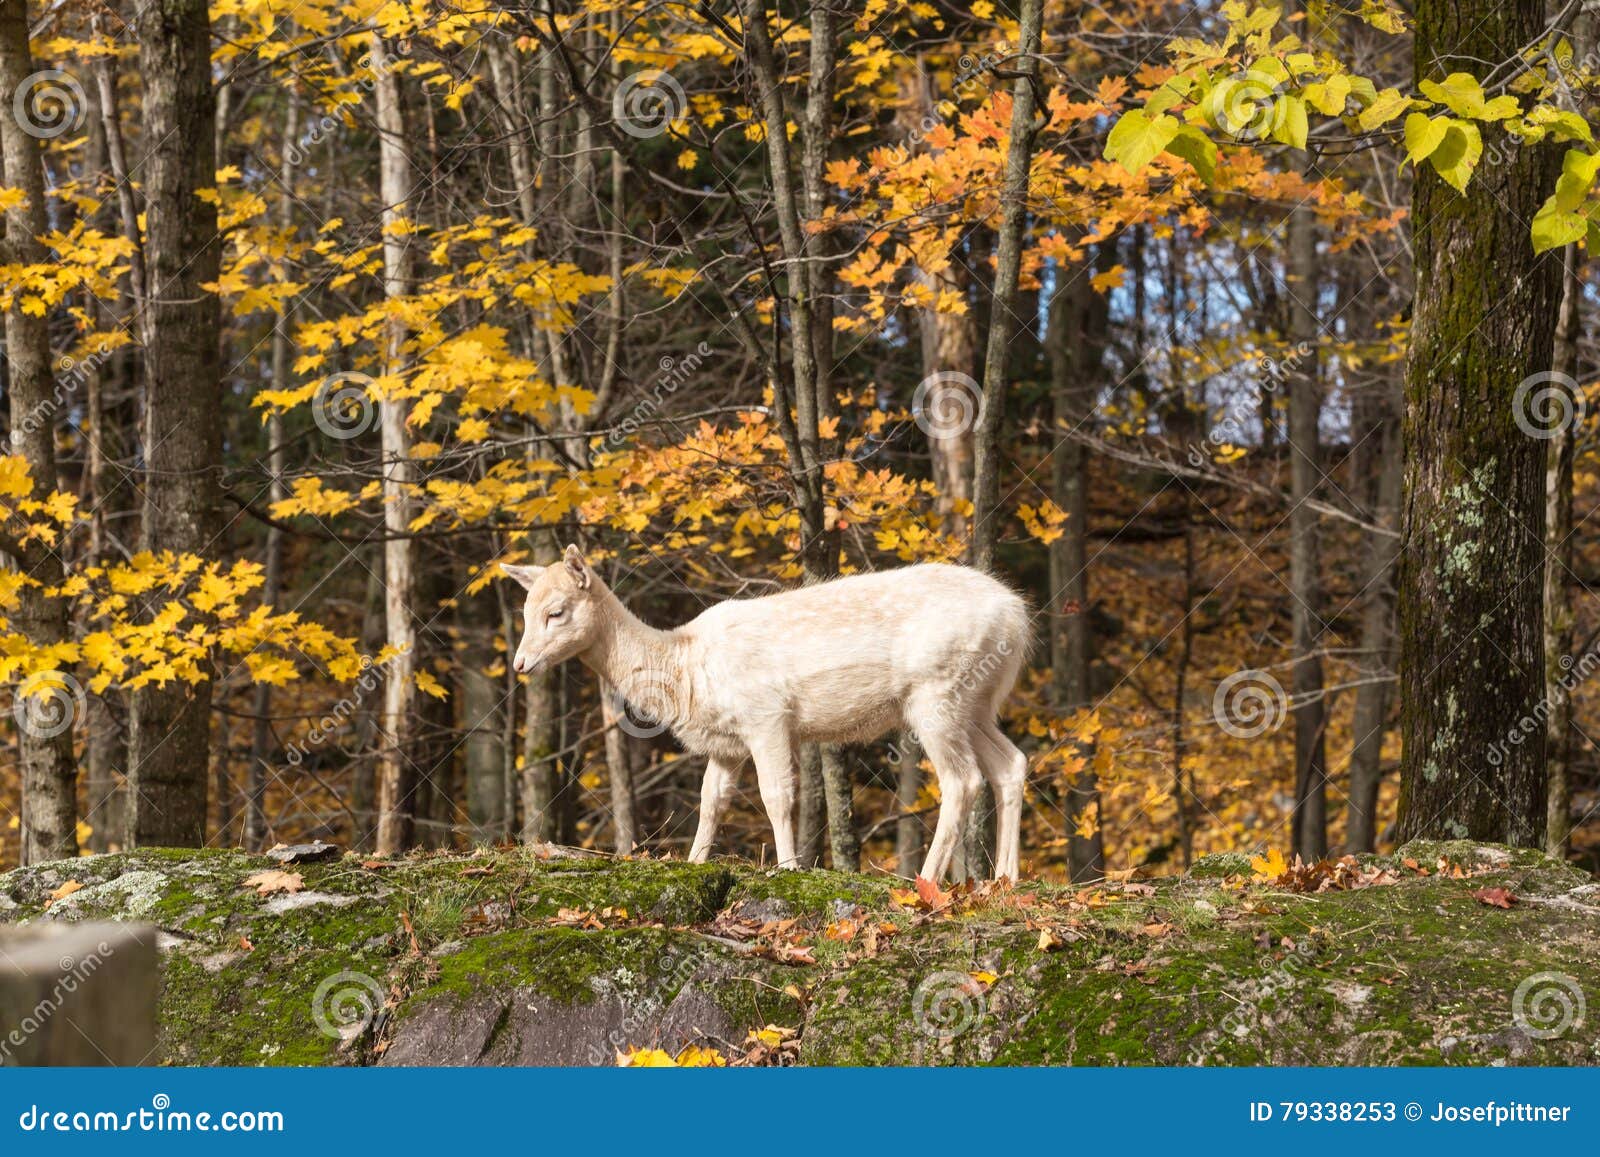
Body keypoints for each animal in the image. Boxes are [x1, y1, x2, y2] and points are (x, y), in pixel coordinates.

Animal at [502, 546, 1032, 880]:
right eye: (524, 610)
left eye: (556, 611)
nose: (521, 663)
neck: (684, 670)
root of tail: (1017, 616)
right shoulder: (727, 745)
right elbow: (711, 802)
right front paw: (694, 863)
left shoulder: (768, 717)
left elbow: (777, 796)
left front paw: (789, 868)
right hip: (976, 700)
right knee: (1011, 763)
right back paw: (1005, 879)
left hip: (936, 692)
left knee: (962, 779)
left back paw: (926, 879)